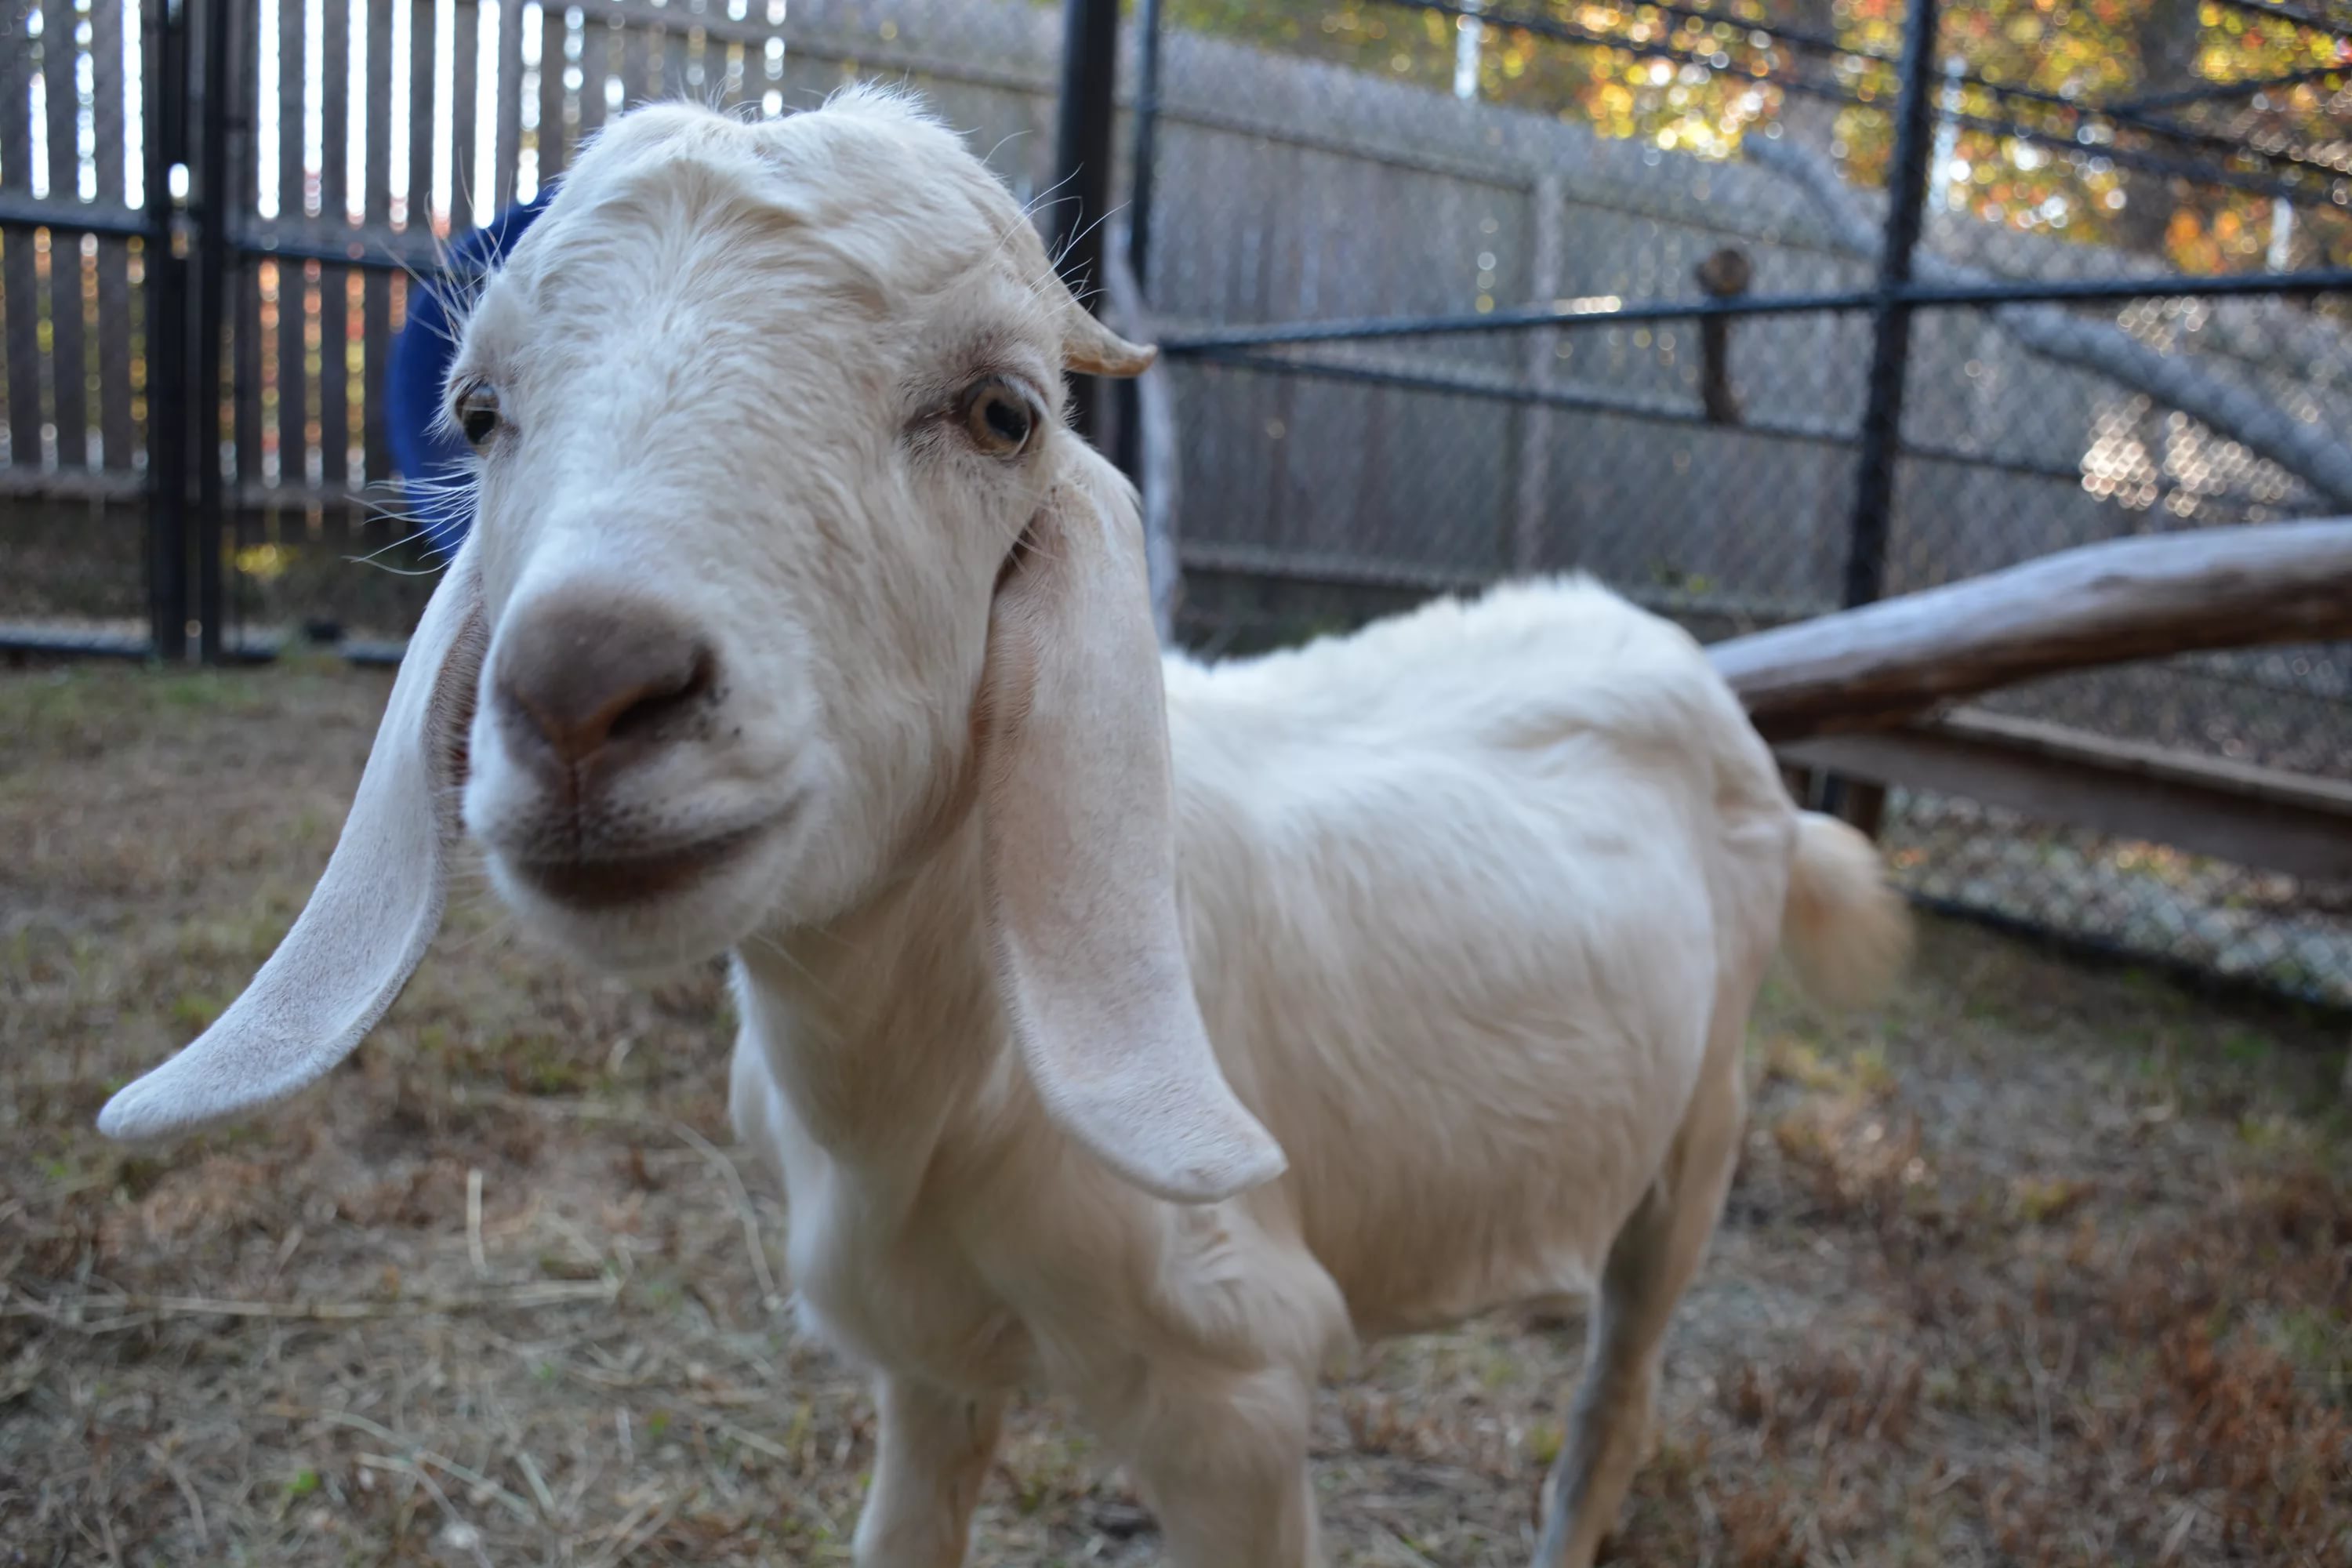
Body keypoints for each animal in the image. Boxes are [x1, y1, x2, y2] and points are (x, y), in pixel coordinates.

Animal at [98, 88, 1909, 1567]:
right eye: (477, 412)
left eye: (1003, 412)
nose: (585, 692)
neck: (933, 1076)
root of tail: (1667, 647)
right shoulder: (923, 1365)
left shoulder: (1233, 1398)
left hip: (1701, 1133)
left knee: (1619, 1393)